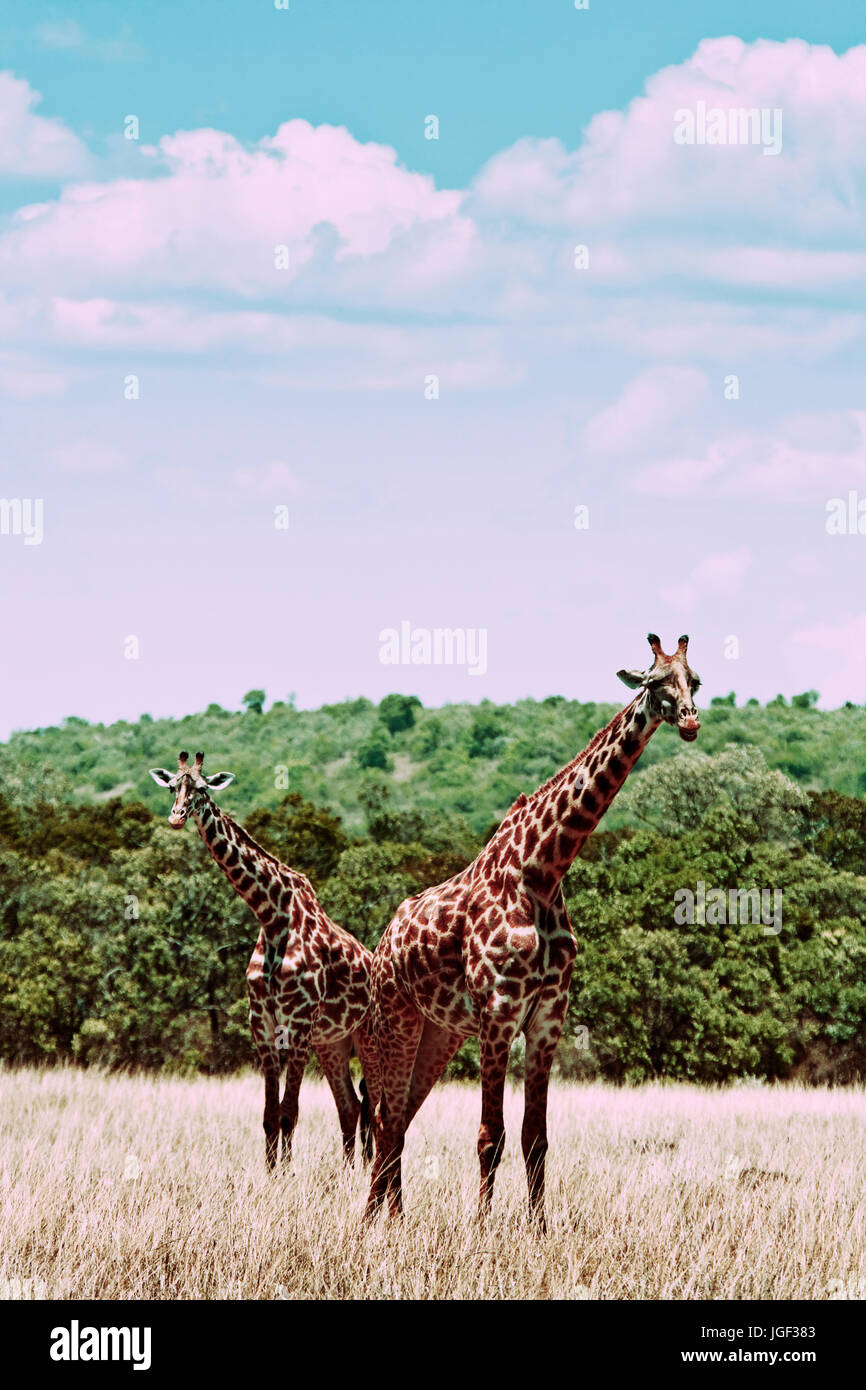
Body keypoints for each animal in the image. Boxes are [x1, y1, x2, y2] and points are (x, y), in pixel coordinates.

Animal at [148, 751, 377, 1170]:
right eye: (173, 786)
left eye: (202, 789)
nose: (176, 816)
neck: (271, 916)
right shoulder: (264, 1024)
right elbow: (271, 1114)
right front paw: (272, 1174)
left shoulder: (299, 1024)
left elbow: (290, 1112)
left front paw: (286, 1176)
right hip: (333, 1043)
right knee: (351, 1106)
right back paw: (348, 1173)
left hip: (366, 1038)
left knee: (373, 1105)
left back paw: (369, 1168)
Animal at [364, 633, 701, 1223]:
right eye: (655, 681)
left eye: (696, 681)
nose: (690, 720)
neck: (543, 870)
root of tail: (385, 941)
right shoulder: (499, 1012)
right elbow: (489, 1135)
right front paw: (482, 1229)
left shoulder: (547, 1016)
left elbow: (534, 1136)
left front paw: (539, 1228)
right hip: (396, 1016)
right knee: (385, 1115)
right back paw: (373, 1220)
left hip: (440, 1031)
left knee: (399, 1117)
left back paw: (395, 1219)